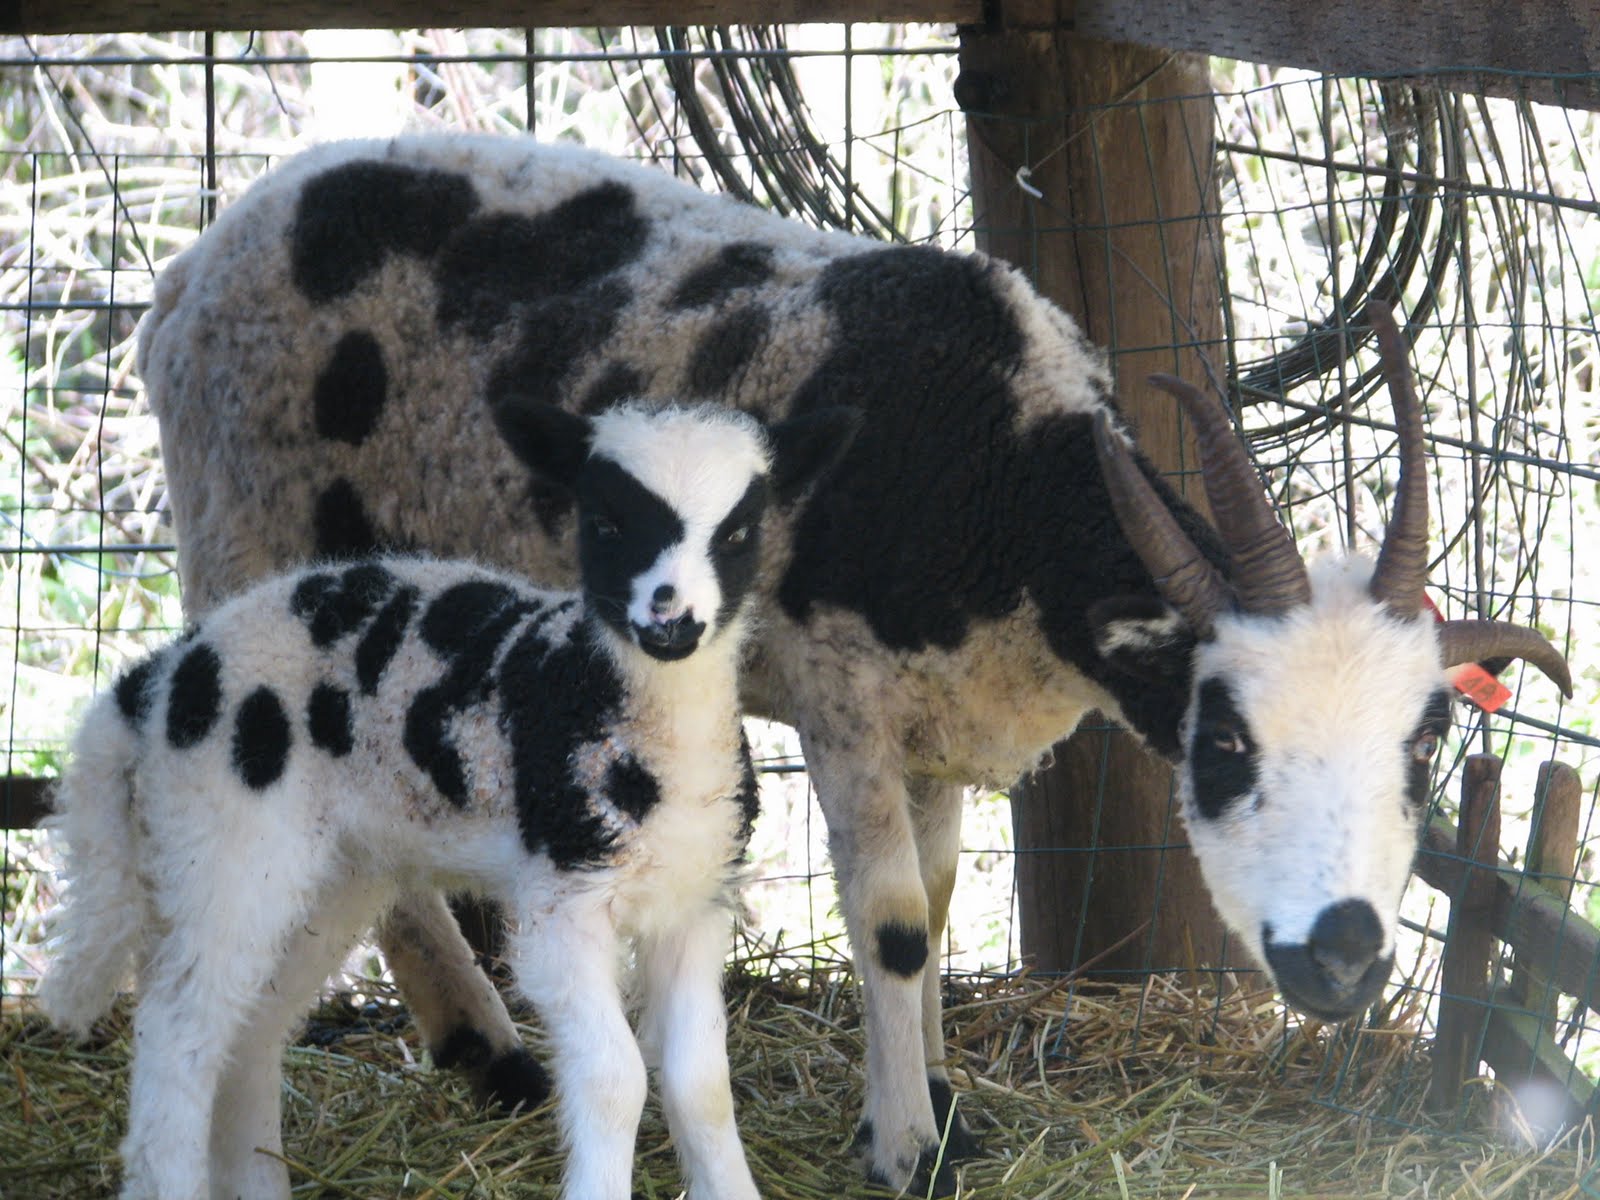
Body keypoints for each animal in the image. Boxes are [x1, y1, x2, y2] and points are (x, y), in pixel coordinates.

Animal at [40, 398, 860, 1200]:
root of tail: (158, 677)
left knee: (251, 1029)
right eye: (606, 523)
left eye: (740, 531)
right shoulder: (562, 911)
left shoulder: (695, 904)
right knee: (179, 1035)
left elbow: (702, 1085)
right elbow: (614, 1078)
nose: (672, 619)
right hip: (222, 842)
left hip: (330, 872)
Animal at [135, 133, 1573, 1193]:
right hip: (248, 521)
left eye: (1426, 743)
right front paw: (905, 1148)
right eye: (1223, 742)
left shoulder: (937, 723)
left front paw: (938, 1094)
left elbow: (932, 908)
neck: (996, 469)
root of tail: (192, 265)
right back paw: (487, 1048)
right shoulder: (846, 708)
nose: (1343, 961)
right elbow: (887, 926)